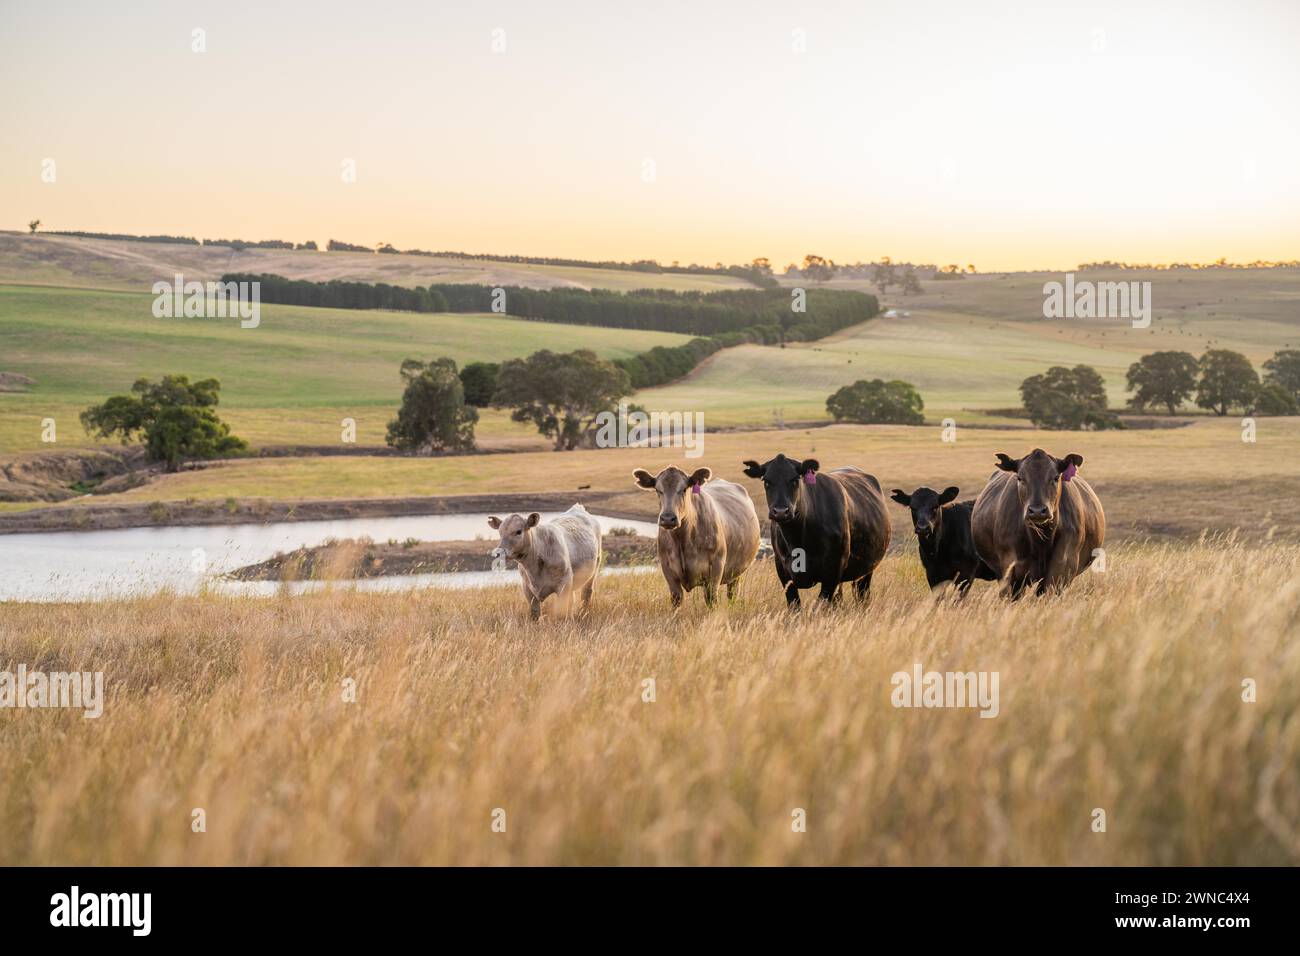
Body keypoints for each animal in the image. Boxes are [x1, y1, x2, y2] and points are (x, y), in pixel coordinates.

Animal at [632, 465, 760, 607]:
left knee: (732, 594)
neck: (682, 539)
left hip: (737, 572)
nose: (668, 518)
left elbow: (711, 599)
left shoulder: (716, 567)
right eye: (658, 490)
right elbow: (676, 598)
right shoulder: (667, 569)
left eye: (683, 489)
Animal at [741, 454, 891, 607]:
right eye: (766, 481)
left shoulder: (834, 569)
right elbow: (794, 605)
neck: (798, 538)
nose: (781, 512)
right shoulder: (782, 570)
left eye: (795, 480)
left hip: (867, 569)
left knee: (862, 596)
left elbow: (820, 605)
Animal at [971, 449, 1105, 598]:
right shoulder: (1009, 568)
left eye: (1056, 477)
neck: (1039, 540)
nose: (1037, 511)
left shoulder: (1062, 567)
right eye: (1020, 478)